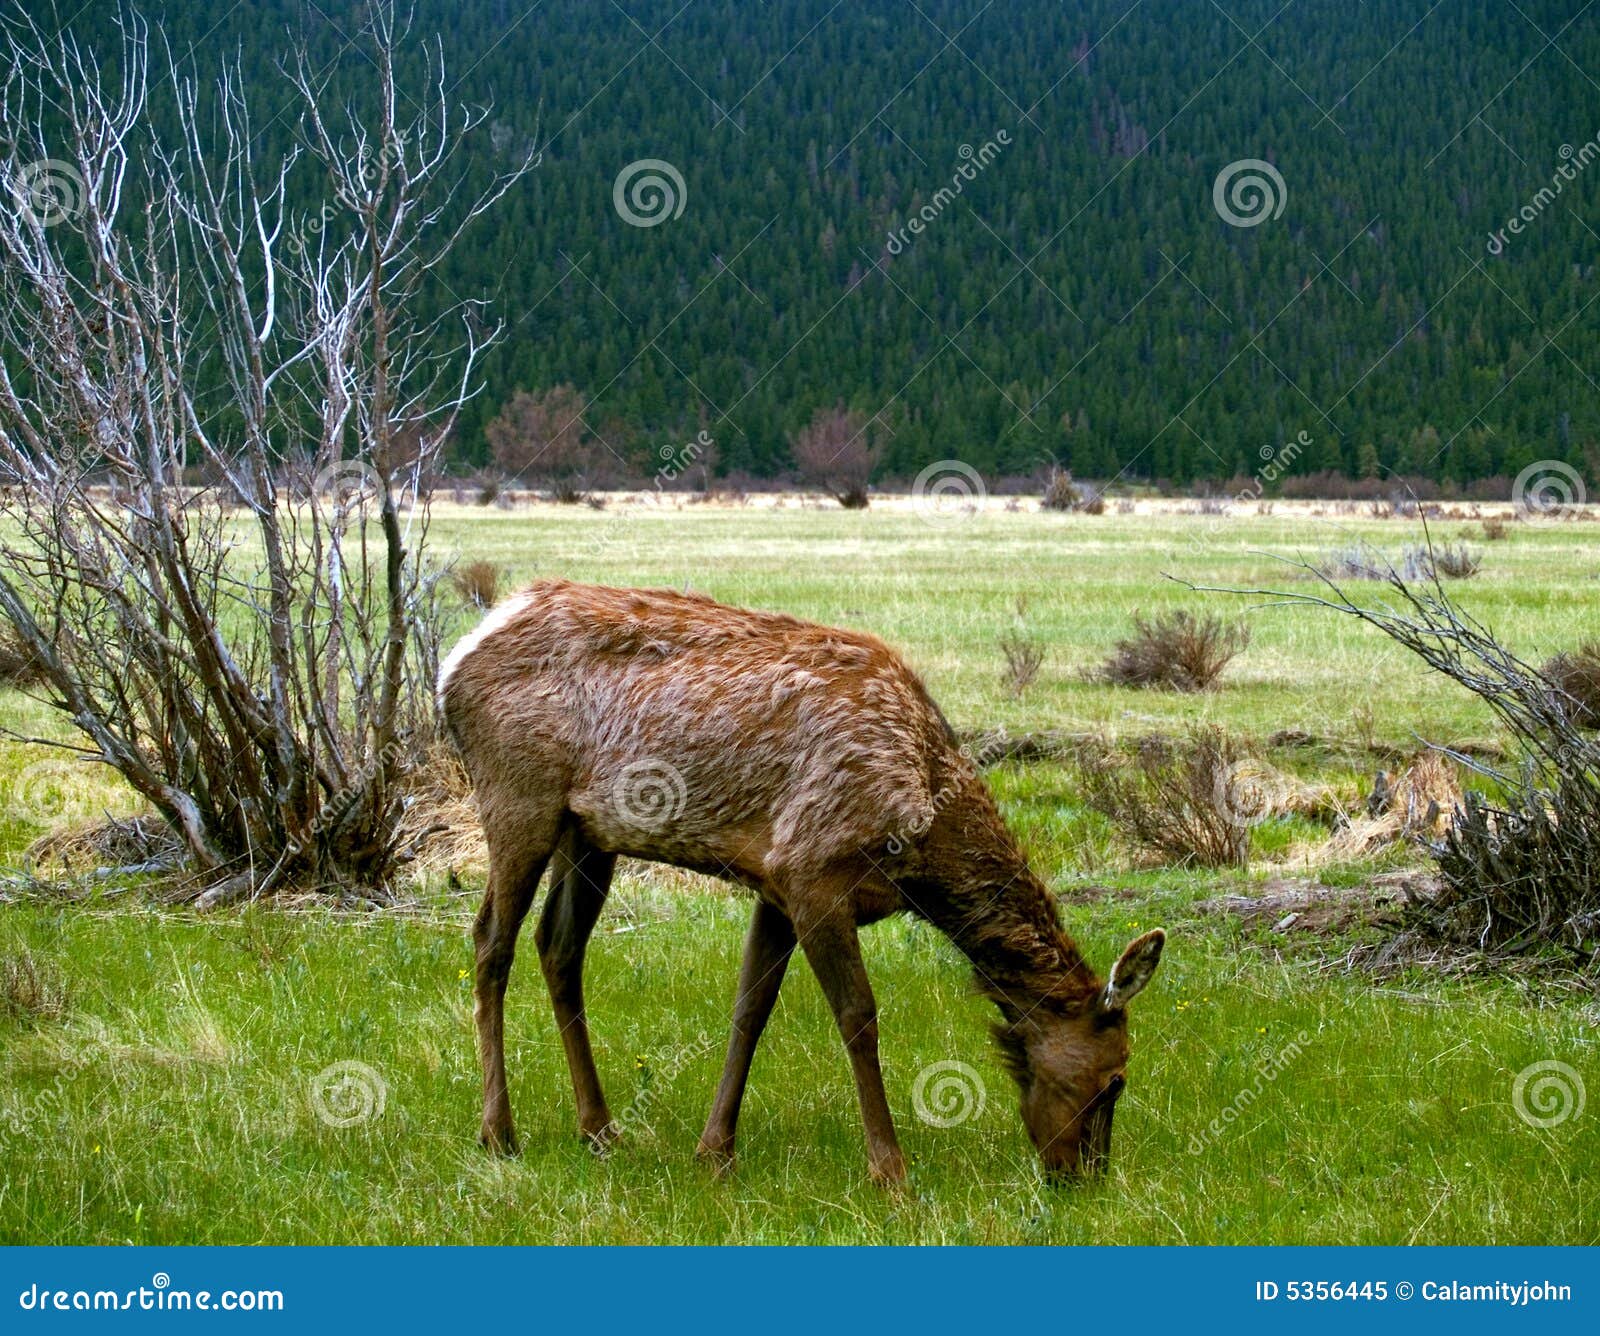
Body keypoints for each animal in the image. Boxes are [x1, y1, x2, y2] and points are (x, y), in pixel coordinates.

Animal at [439, 579, 1165, 1185]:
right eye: (1115, 1079)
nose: (1083, 1178)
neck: (920, 841)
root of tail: (454, 660)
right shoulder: (812, 870)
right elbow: (859, 1017)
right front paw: (889, 1171)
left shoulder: (774, 884)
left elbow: (750, 1009)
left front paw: (715, 1152)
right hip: (518, 797)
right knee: (490, 943)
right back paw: (497, 1132)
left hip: (587, 833)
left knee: (559, 946)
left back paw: (599, 1128)